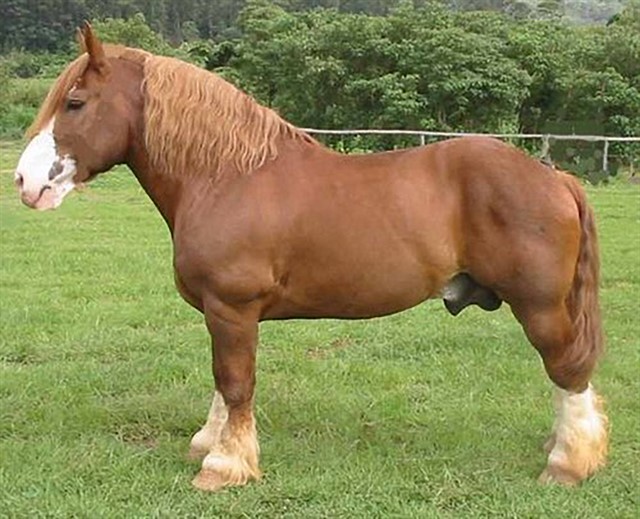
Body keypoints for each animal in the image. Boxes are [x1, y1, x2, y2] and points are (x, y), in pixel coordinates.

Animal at [14, 23, 608, 491]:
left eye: (74, 103)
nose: (24, 182)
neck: (224, 177)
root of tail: (552, 176)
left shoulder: (233, 307)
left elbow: (235, 381)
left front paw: (224, 466)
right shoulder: (220, 312)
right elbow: (223, 383)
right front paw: (210, 442)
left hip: (539, 307)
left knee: (567, 370)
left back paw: (567, 463)